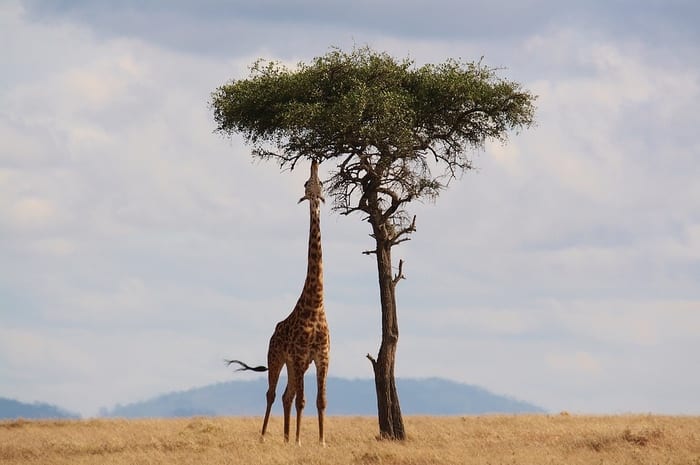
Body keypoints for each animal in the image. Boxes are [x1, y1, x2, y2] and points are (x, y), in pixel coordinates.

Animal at [228, 160, 330, 446]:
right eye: (307, 183)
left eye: (321, 183)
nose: (314, 162)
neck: (316, 305)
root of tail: (273, 333)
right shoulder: (300, 355)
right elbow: (303, 401)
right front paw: (299, 441)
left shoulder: (321, 356)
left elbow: (320, 401)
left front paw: (321, 442)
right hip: (276, 357)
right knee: (273, 394)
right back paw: (265, 436)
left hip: (295, 365)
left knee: (286, 395)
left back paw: (285, 438)